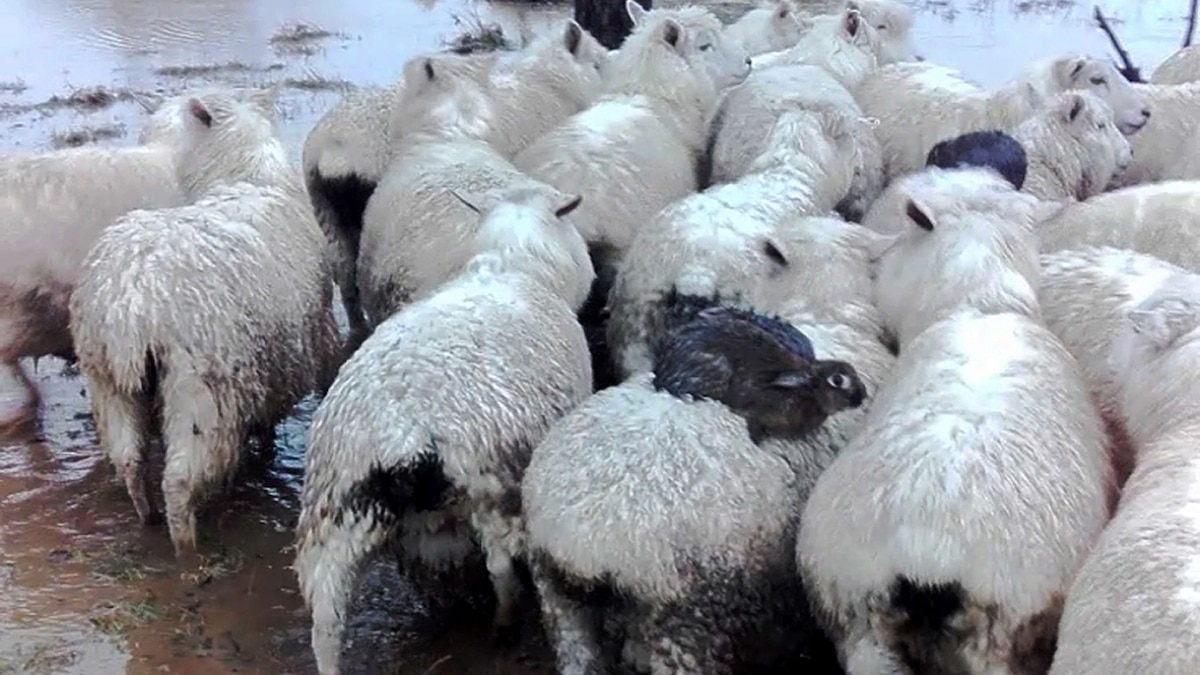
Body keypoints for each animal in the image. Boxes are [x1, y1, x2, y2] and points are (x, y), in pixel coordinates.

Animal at [68, 91, 342, 556]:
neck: (247, 176)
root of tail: (131, 309)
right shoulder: (299, 345)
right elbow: (271, 422)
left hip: (109, 383)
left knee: (130, 460)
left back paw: (148, 518)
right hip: (200, 393)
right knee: (179, 480)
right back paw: (186, 545)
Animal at [294, 183, 596, 675]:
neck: (509, 267)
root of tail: (398, 433)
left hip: (333, 511)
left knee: (326, 617)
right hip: (491, 485)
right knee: (501, 568)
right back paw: (504, 626)